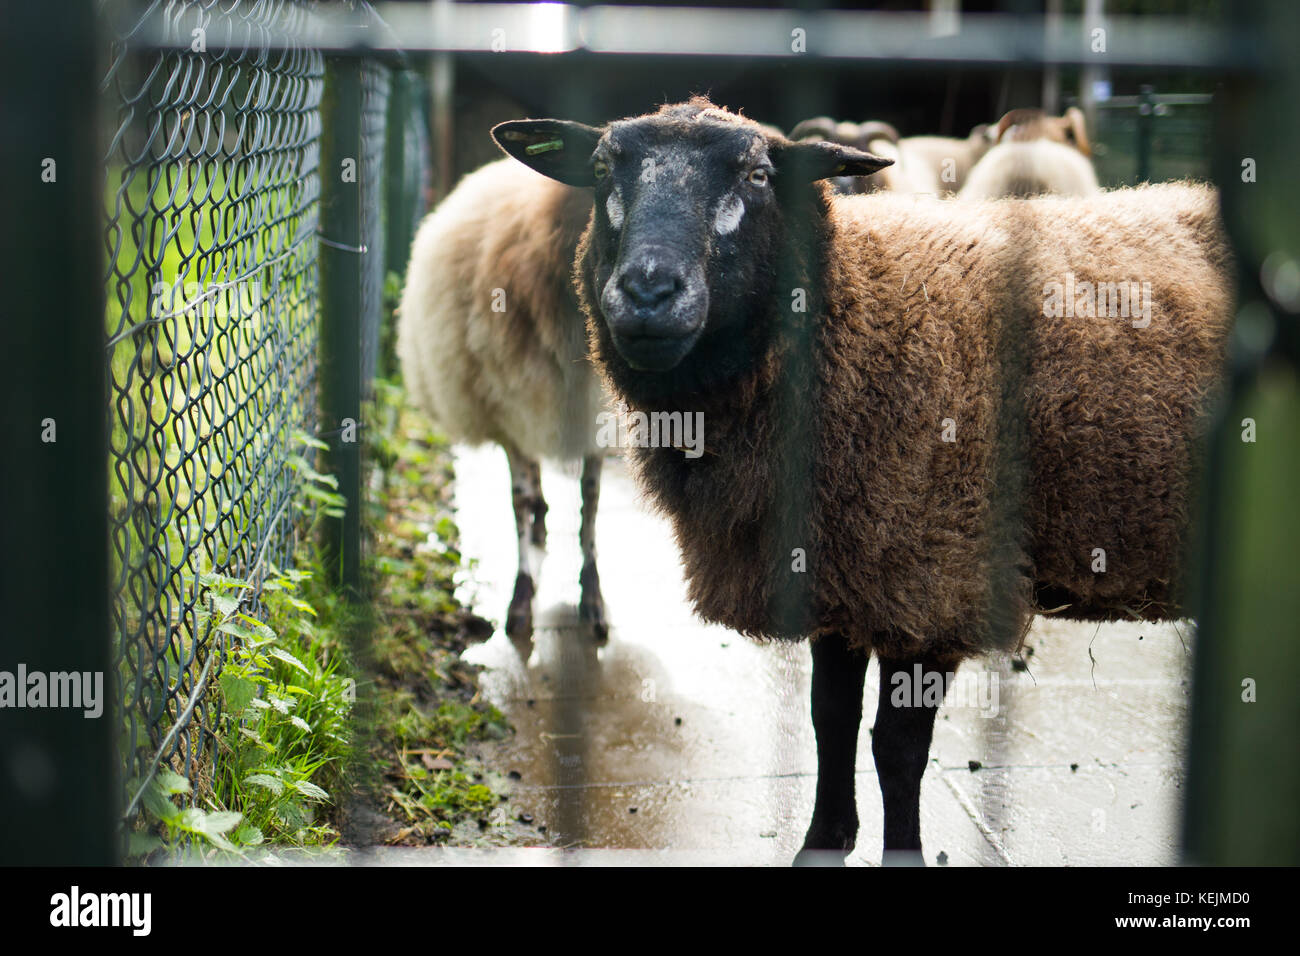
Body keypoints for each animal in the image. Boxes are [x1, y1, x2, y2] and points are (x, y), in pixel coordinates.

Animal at [396, 157, 609, 641]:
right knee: (530, 497)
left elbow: (590, 503)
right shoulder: (510, 410)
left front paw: (593, 600)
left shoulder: (600, 413)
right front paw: (521, 604)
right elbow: (521, 502)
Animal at [492, 97, 1234, 865]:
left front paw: (897, 850)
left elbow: (896, 750)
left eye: (759, 174)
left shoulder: (932, 579)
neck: (853, 313)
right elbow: (832, 720)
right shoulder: (835, 568)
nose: (646, 292)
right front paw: (824, 840)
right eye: (601, 167)